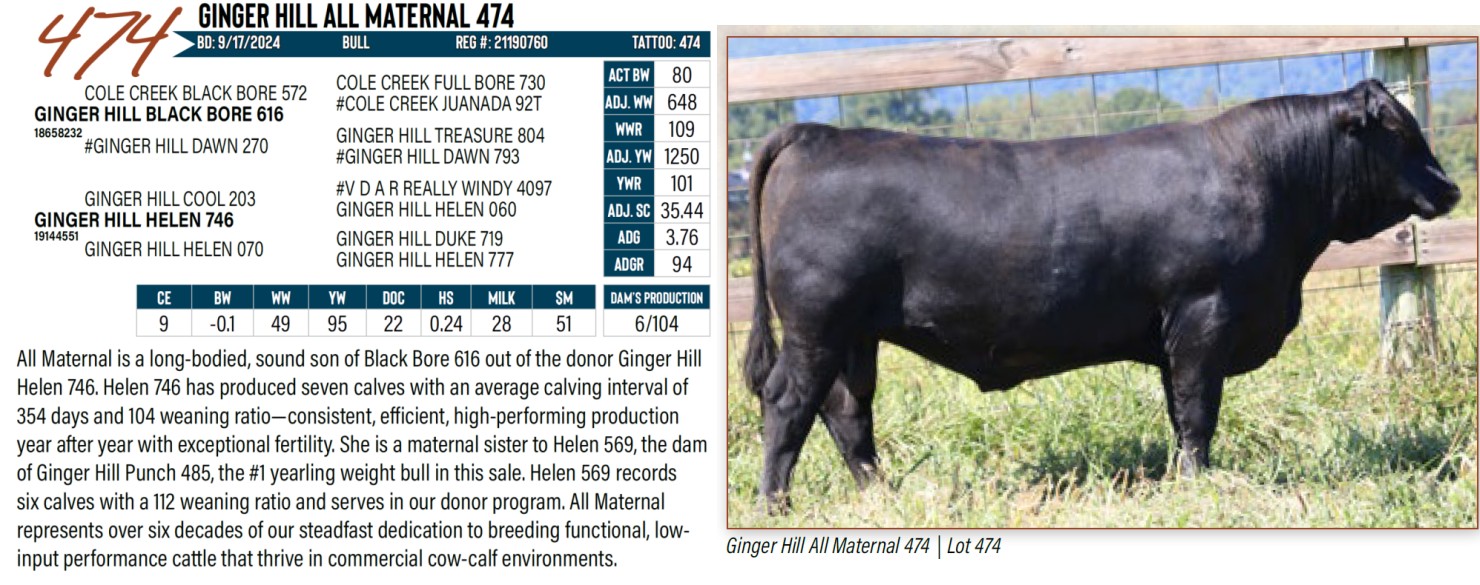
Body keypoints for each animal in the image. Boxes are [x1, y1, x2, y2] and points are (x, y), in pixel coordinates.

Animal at [741, 79, 1461, 511]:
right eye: (1399, 131)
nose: (1451, 188)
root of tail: (816, 132)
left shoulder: (1179, 331)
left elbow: (1179, 411)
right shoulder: (1205, 314)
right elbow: (1199, 409)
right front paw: (1198, 484)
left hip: (854, 334)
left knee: (847, 409)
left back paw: (881, 494)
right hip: (816, 324)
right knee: (789, 402)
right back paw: (775, 504)